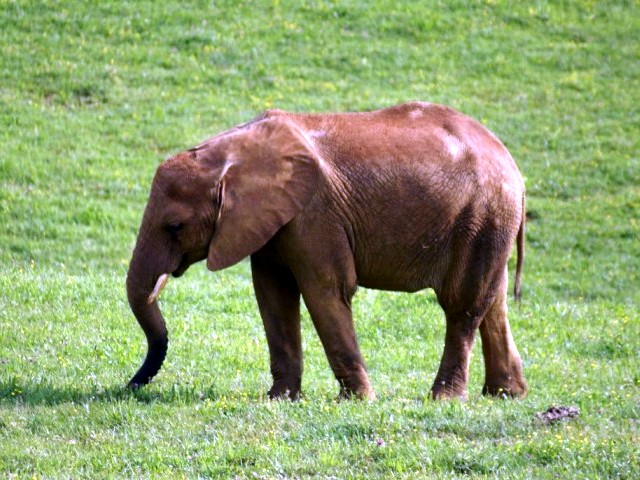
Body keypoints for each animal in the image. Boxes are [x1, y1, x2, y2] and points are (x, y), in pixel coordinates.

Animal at [126, 102, 527, 400]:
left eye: (175, 226)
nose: (130, 384)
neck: (232, 152)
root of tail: (513, 165)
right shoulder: (270, 218)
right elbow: (273, 293)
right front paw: (280, 399)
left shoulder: (315, 212)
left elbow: (326, 290)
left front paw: (359, 400)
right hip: (490, 221)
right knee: (493, 301)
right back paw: (506, 394)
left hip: (482, 214)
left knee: (461, 304)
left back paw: (445, 398)